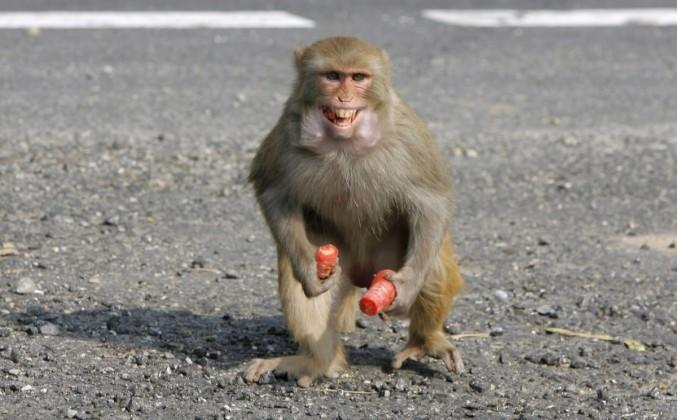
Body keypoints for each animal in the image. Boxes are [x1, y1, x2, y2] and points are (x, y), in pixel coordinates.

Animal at [246, 36, 465, 387]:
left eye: (358, 77)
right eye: (333, 76)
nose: (343, 97)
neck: (345, 142)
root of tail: (363, 274)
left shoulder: (408, 132)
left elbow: (432, 201)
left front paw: (406, 289)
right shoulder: (288, 128)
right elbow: (274, 190)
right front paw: (310, 270)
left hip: (389, 261)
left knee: (430, 260)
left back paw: (425, 340)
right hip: (340, 258)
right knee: (301, 272)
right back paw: (319, 363)